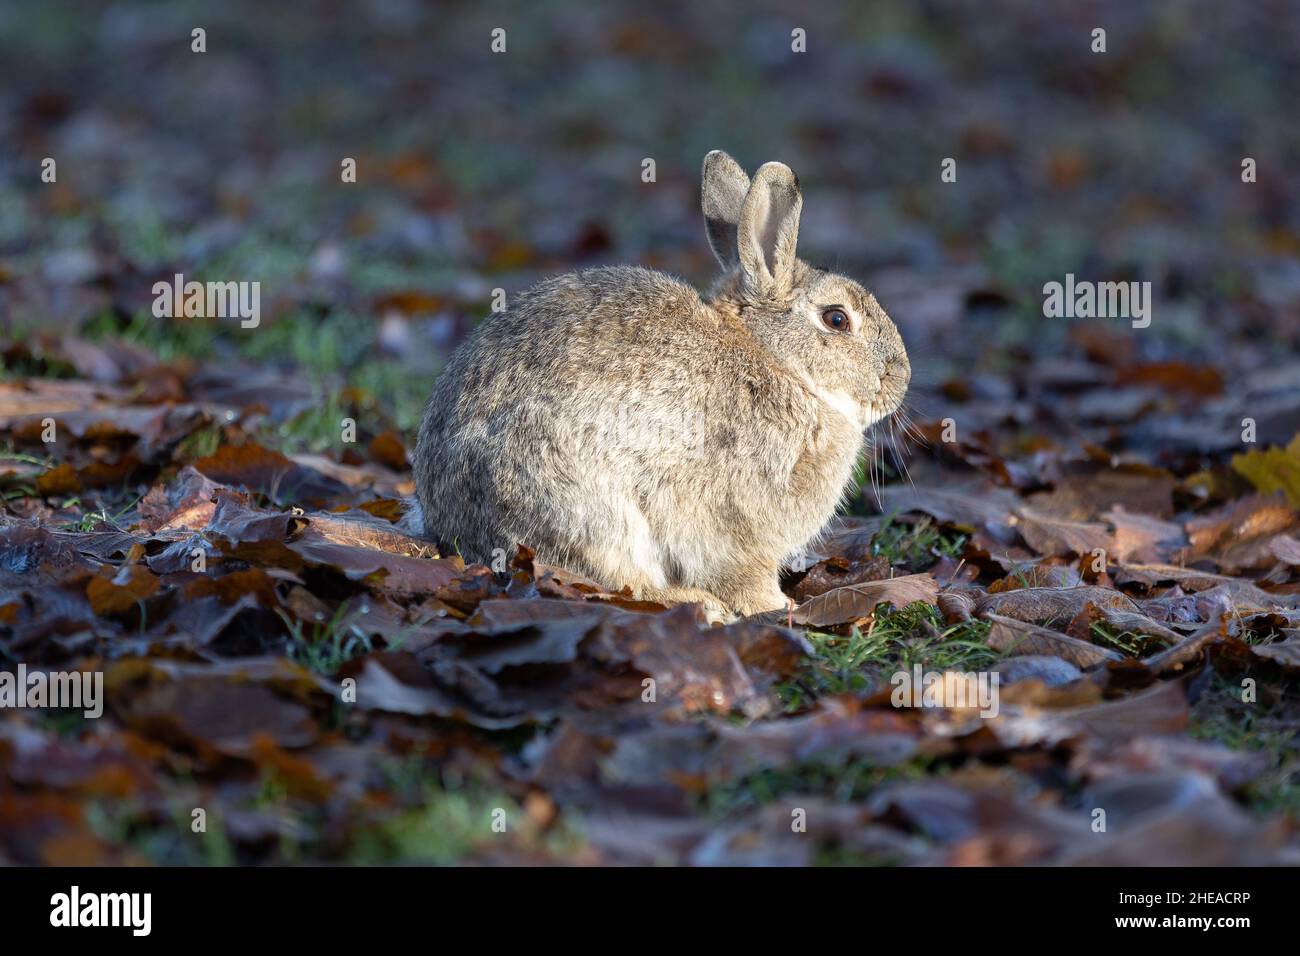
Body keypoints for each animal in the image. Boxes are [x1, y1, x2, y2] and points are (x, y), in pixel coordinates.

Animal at [412, 150, 910, 623]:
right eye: (837, 319)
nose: (900, 380)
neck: (777, 362)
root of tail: (451, 523)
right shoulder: (735, 522)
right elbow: (743, 574)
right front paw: (776, 605)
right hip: (586, 504)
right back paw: (701, 604)